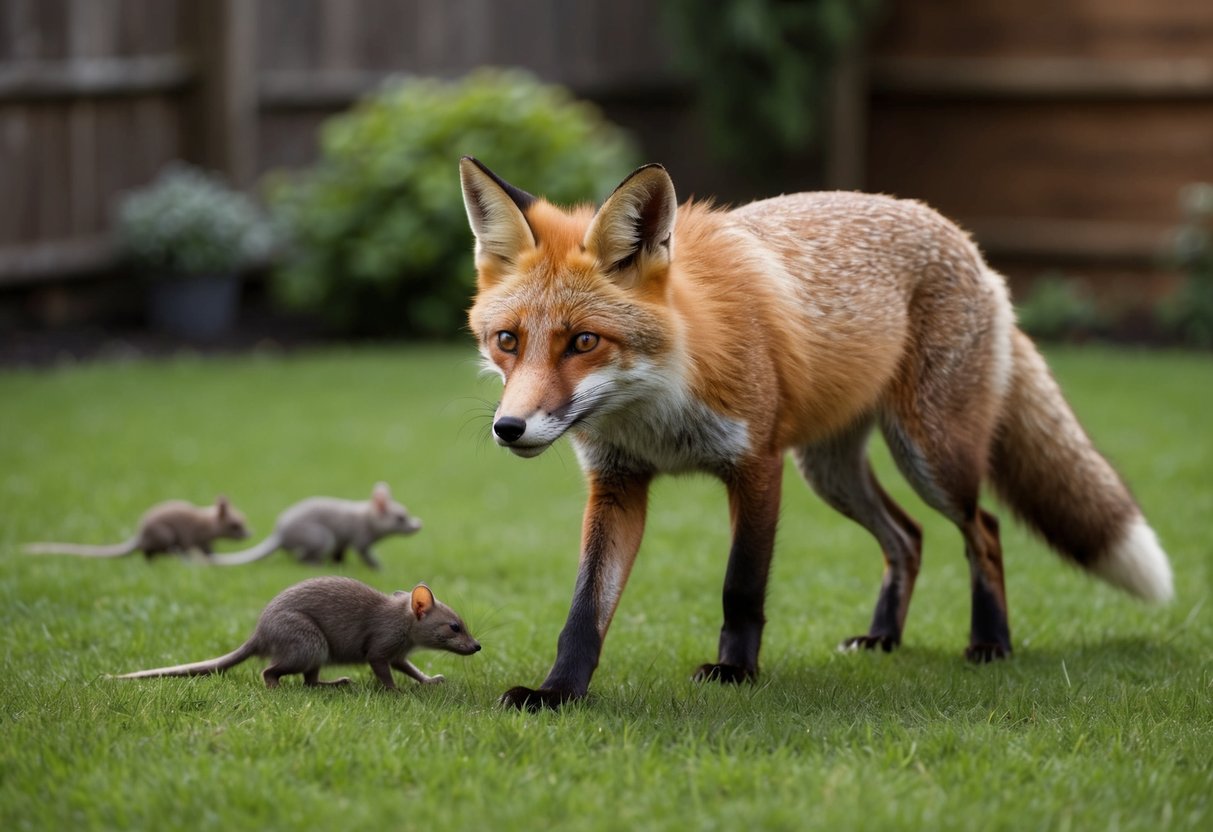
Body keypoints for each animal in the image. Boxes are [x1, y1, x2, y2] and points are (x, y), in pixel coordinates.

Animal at [458, 156, 1174, 711]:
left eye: (584, 342)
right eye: (507, 341)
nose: (509, 427)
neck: (658, 406)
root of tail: (965, 241)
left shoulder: (757, 465)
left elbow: (741, 586)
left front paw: (735, 672)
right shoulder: (618, 482)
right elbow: (585, 609)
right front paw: (558, 692)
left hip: (931, 457)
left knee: (986, 531)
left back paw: (991, 642)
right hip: (831, 470)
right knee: (908, 538)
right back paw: (884, 639)